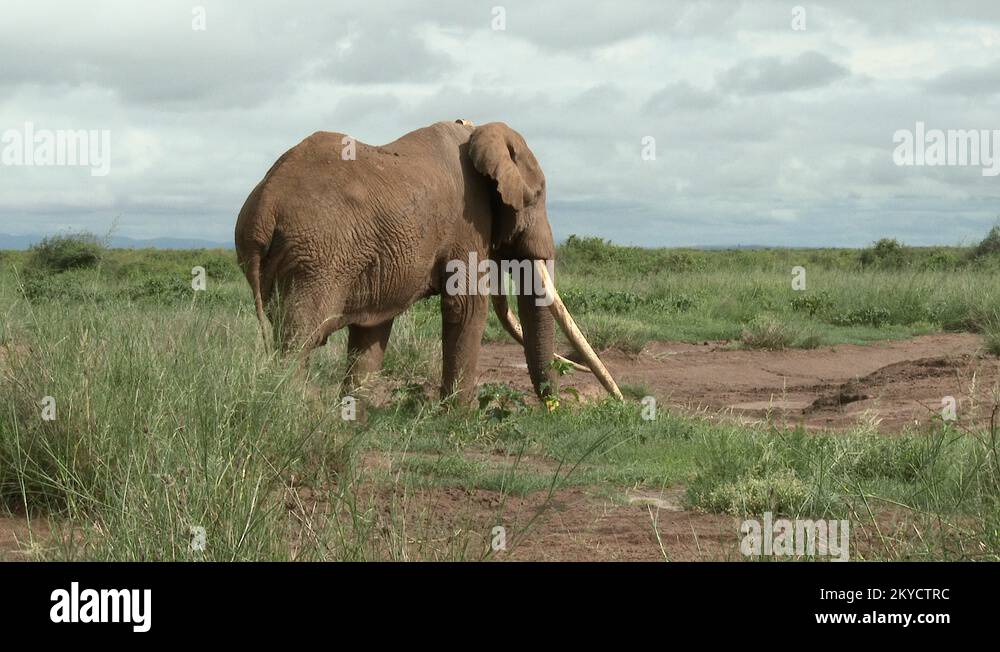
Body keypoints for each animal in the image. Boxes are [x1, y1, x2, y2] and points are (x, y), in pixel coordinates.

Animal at [234, 119, 622, 407]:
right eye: (537, 195)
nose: (553, 407)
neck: (477, 131)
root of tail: (264, 206)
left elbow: (373, 327)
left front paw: (355, 418)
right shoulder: (468, 219)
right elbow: (468, 306)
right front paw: (459, 417)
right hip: (317, 258)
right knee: (298, 340)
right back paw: (289, 411)